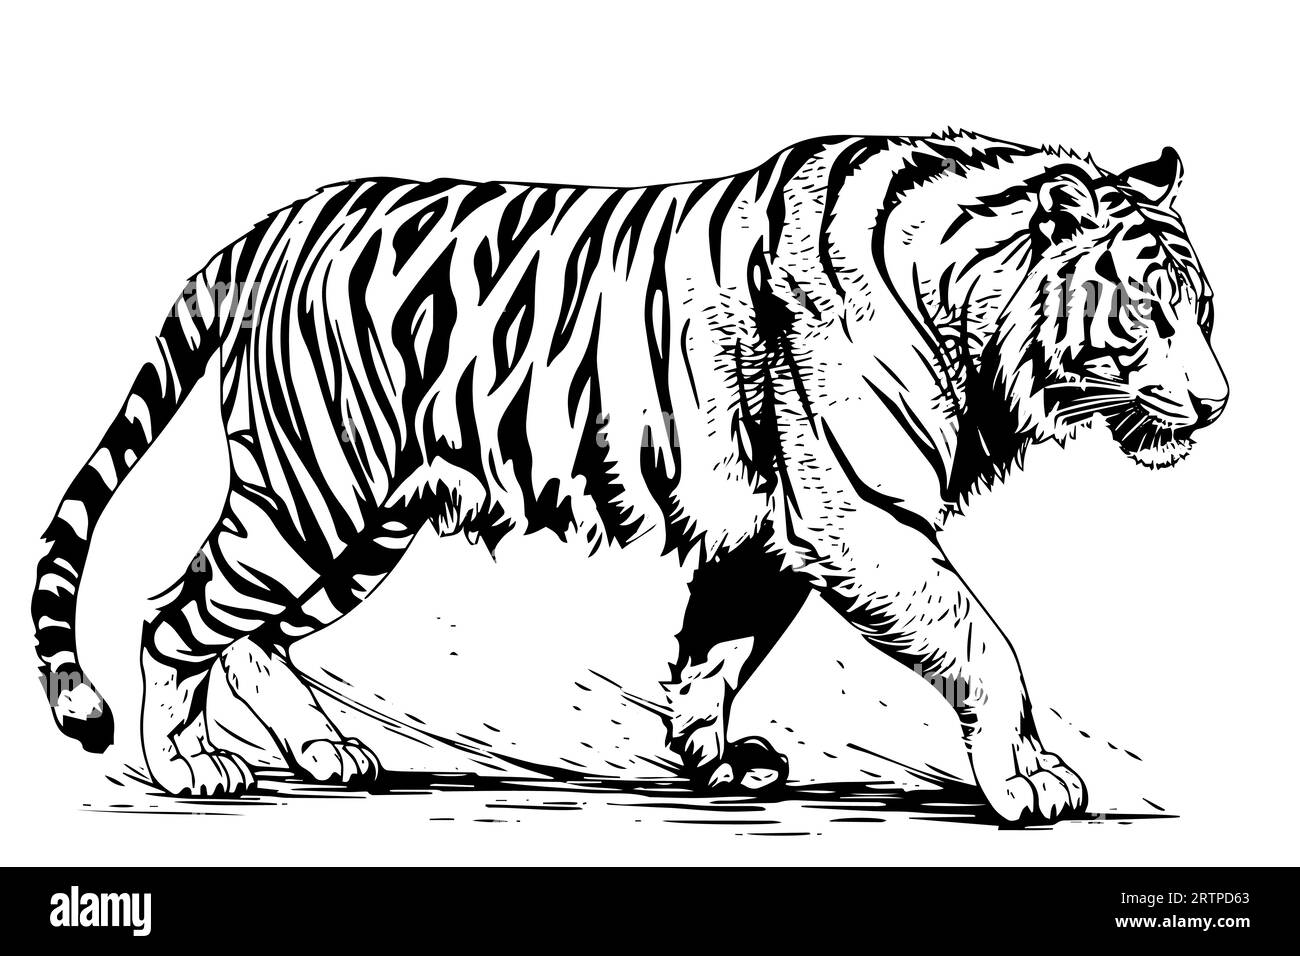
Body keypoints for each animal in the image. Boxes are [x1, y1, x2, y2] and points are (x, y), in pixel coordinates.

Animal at [32, 129, 1227, 822]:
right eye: (1150, 314)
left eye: (1205, 311)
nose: (1217, 405)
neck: (970, 310)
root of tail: (269, 227)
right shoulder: (861, 518)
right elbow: (984, 640)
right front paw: (1026, 777)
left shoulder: (765, 534)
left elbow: (716, 648)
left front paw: (715, 757)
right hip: (308, 495)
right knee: (173, 617)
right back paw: (186, 764)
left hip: (363, 522)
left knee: (255, 632)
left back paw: (329, 749)